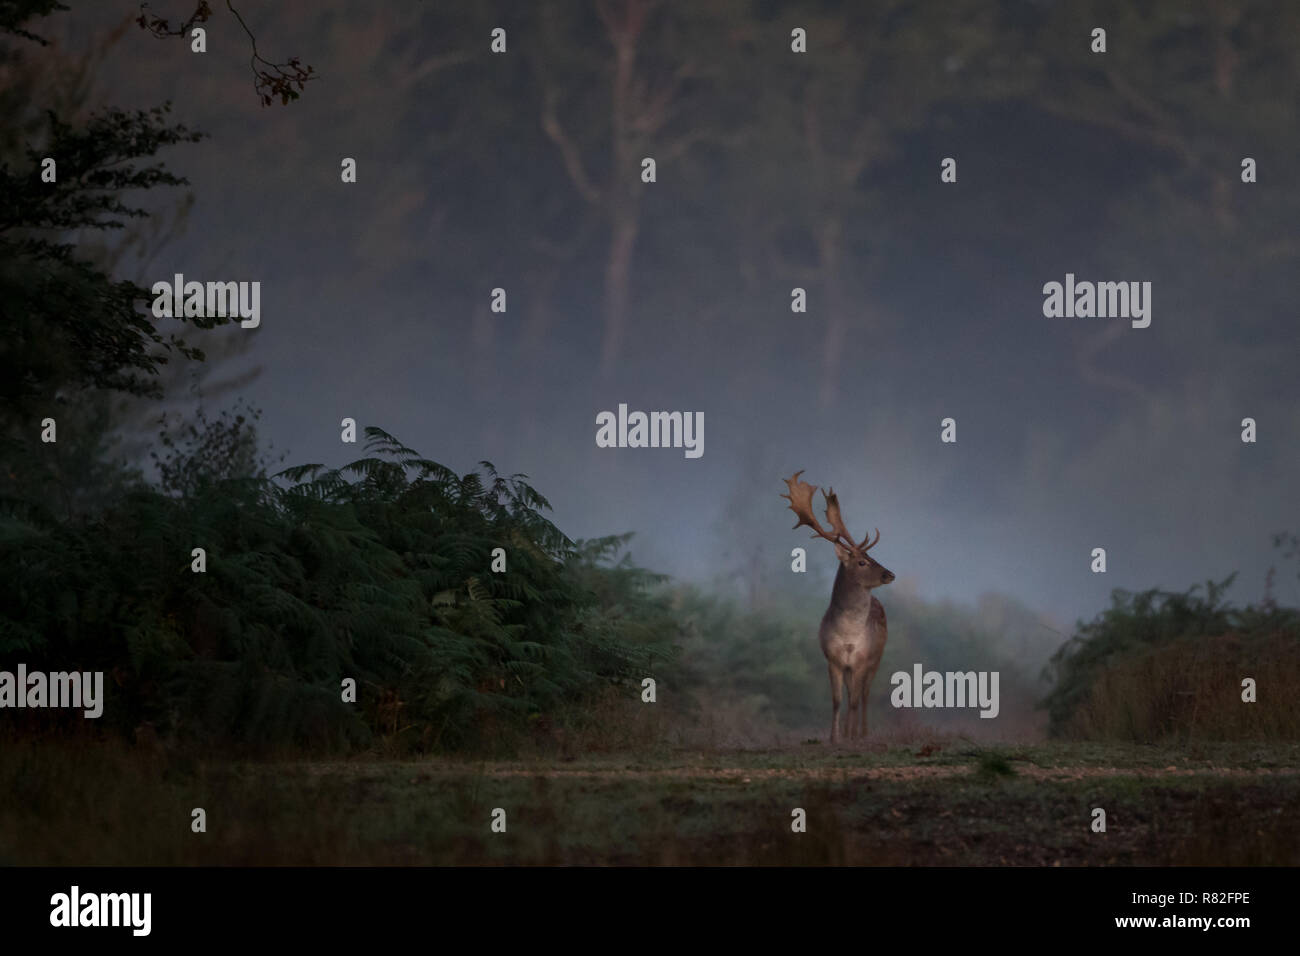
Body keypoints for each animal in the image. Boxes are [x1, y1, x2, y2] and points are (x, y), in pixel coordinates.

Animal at [782, 471, 894, 743]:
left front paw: (851, 736)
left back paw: (862, 732)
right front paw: (835, 737)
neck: (848, 635)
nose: (890, 574)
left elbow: (853, 700)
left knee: (864, 694)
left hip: (877, 657)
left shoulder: (862, 659)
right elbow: (837, 700)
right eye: (863, 562)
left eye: (873, 557)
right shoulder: (833, 659)